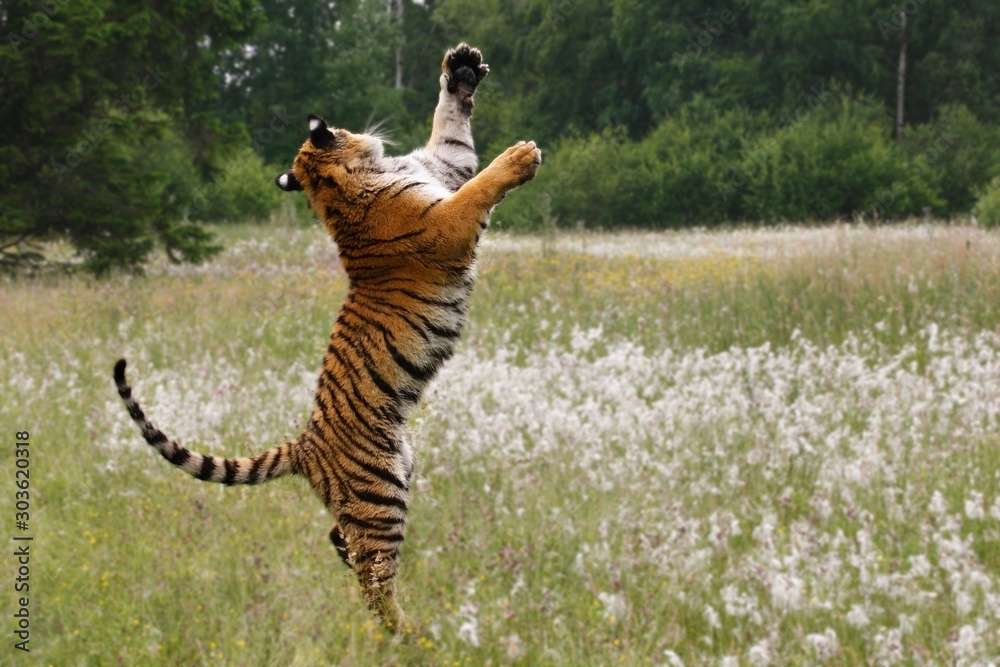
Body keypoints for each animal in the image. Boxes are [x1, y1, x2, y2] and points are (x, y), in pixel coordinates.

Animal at [113, 43, 540, 633]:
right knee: (372, 578)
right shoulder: (448, 221)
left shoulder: (442, 167)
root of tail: (304, 444)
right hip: (380, 500)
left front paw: (460, 68)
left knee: (342, 542)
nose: (363, 127)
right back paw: (412, 635)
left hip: (389, 483)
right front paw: (520, 156)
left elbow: (450, 132)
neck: (347, 182)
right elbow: (479, 185)